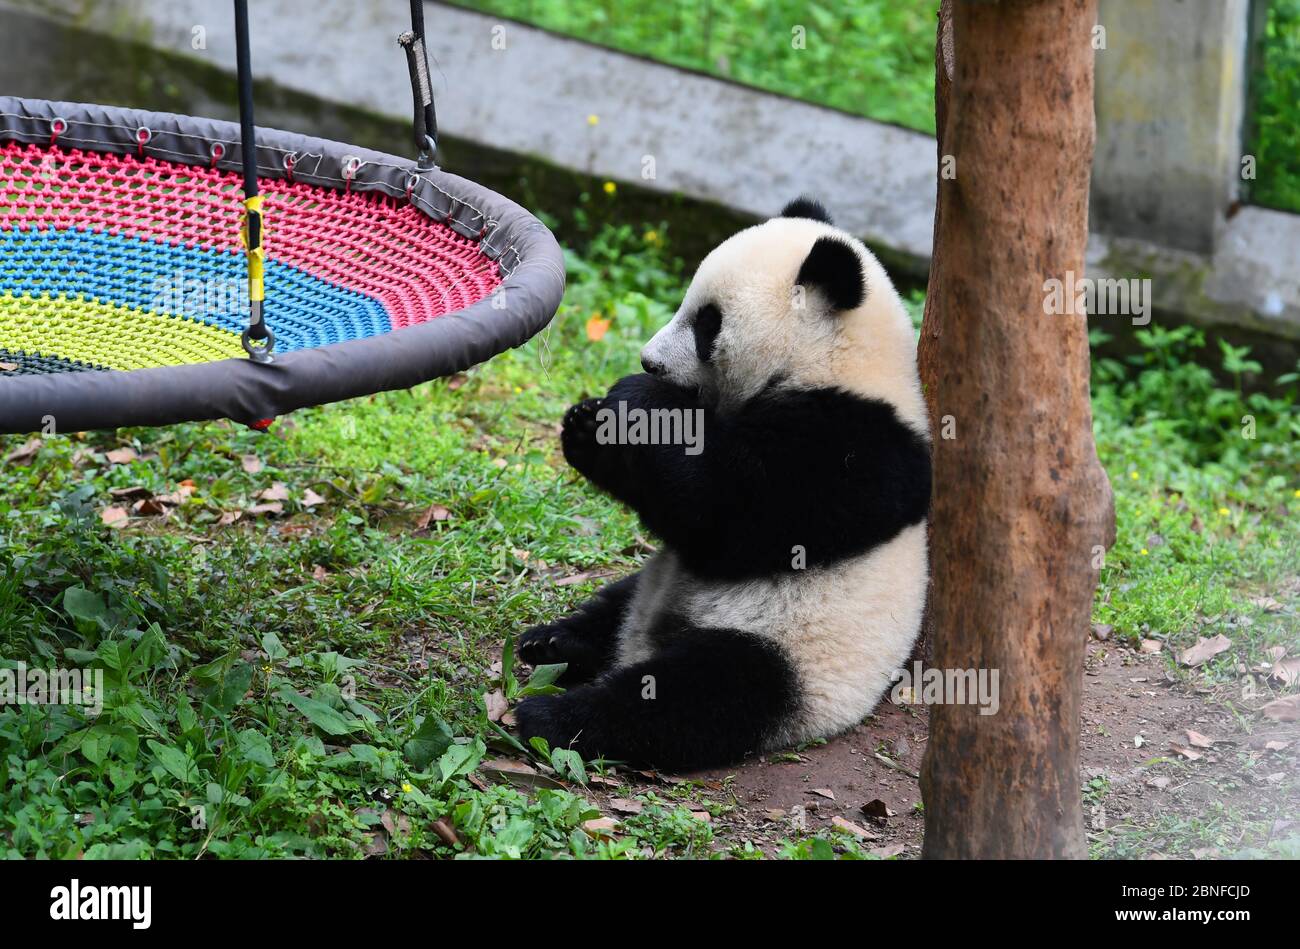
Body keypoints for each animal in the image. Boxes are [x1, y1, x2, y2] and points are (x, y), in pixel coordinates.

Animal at [515, 197, 931, 773]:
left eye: (707, 324)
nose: (649, 361)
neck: (837, 361)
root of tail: (644, 641)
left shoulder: (852, 447)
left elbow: (731, 515)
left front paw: (633, 403)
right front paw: (588, 422)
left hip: (792, 652)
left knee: (695, 694)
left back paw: (554, 717)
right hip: (649, 587)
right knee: (612, 607)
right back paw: (553, 643)